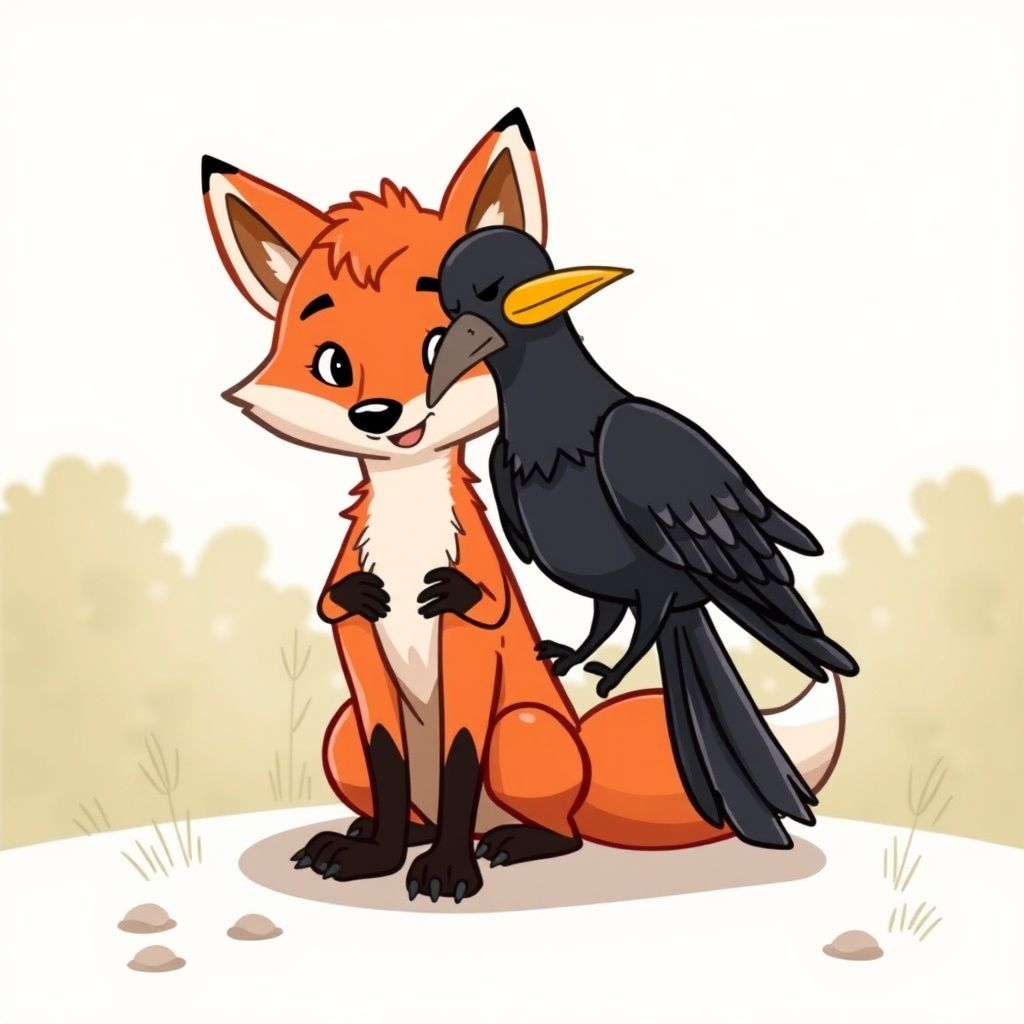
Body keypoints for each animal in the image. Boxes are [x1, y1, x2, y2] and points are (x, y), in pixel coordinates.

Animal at [202, 109, 846, 903]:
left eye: (437, 341)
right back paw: (387, 827)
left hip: (545, 715)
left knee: (564, 806)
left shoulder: (499, 624)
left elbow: (467, 731)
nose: (380, 415)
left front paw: (448, 870)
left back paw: (515, 827)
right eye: (333, 364)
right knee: (409, 789)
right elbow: (366, 678)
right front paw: (378, 857)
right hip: (343, 730)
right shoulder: (364, 645)